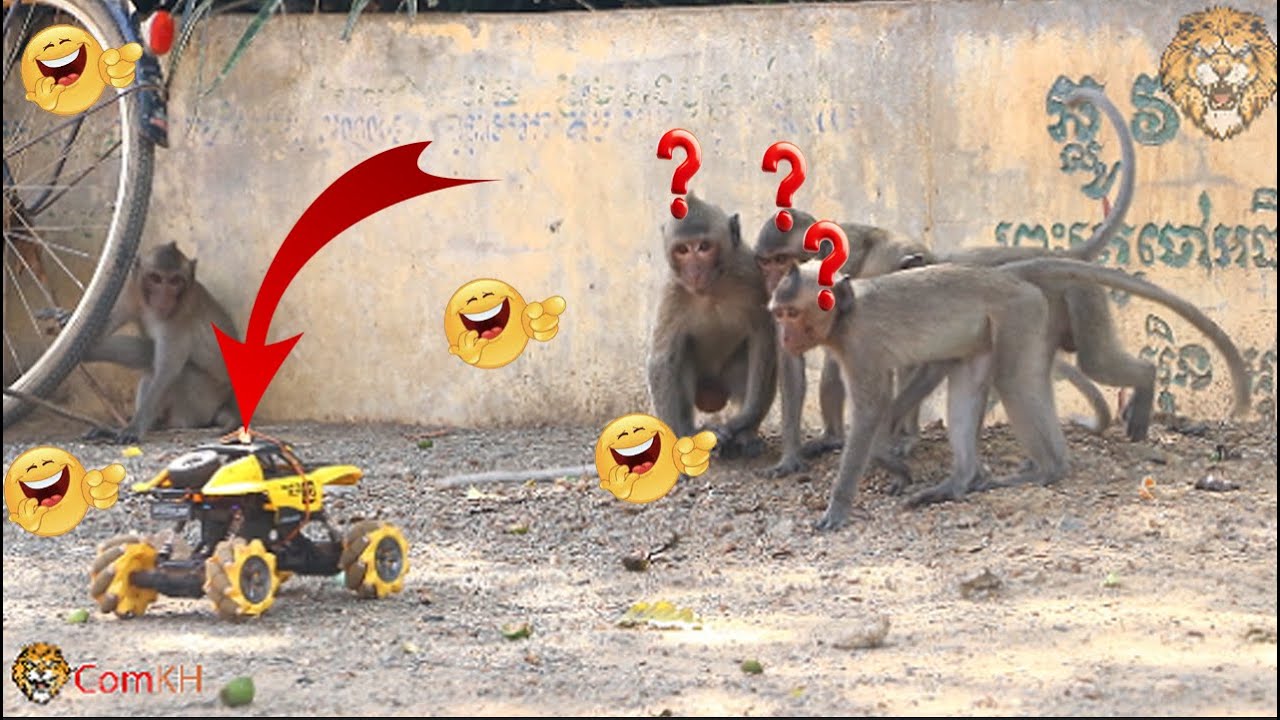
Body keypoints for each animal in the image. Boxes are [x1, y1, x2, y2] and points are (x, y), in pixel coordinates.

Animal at [80, 242, 240, 444]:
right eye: (156, 278)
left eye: (175, 281)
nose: (164, 296)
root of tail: (220, 405)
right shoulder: (132, 292)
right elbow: (102, 333)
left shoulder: (180, 319)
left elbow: (166, 372)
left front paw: (134, 428)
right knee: (149, 361)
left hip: (201, 402)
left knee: (178, 375)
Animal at [648, 193, 778, 459]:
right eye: (683, 250)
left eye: (704, 247)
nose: (695, 271)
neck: (713, 288)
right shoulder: (674, 292)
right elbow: (663, 360)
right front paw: (680, 439)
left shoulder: (752, 276)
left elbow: (763, 339)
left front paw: (742, 422)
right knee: (681, 357)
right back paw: (693, 431)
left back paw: (746, 436)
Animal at [771, 256, 1249, 531]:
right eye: (779, 313)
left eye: (792, 313)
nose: (784, 337)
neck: (846, 314)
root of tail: (1010, 278)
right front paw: (897, 466)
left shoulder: (861, 345)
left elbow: (872, 411)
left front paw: (842, 503)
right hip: (994, 329)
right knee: (973, 384)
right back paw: (961, 481)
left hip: (1020, 315)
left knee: (1017, 378)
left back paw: (1050, 468)